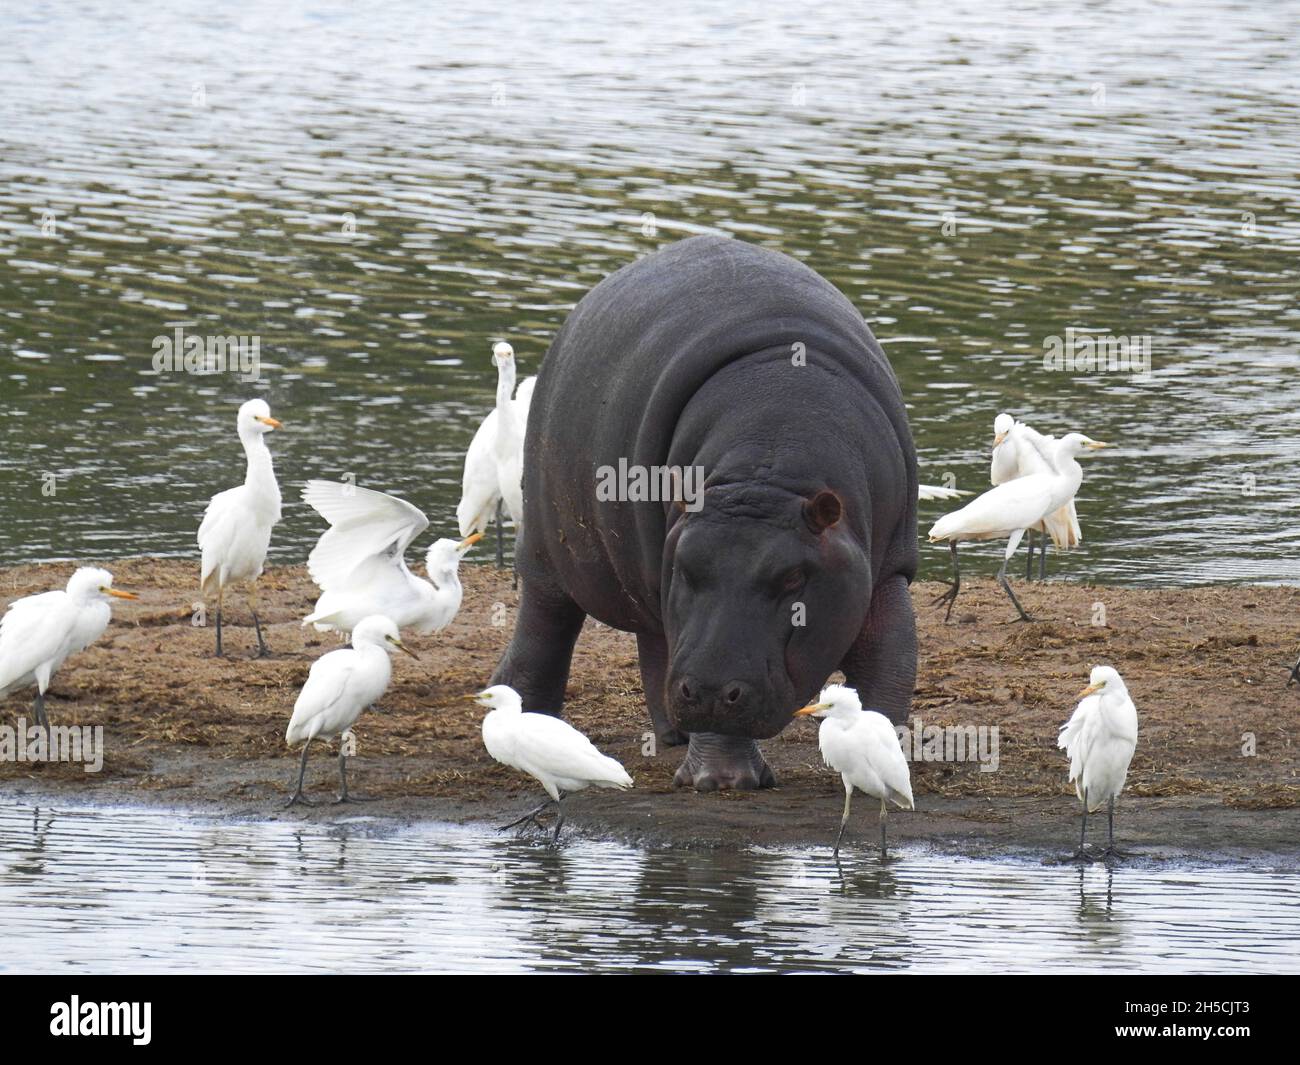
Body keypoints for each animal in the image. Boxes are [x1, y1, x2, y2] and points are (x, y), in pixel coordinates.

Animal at [490, 236, 918, 790]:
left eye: (793, 578)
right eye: (690, 566)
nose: (708, 694)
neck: (771, 462)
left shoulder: (883, 569)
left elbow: (891, 657)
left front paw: (881, 763)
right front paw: (722, 781)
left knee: (654, 640)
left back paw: (671, 734)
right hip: (551, 543)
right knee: (547, 622)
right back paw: (527, 713)